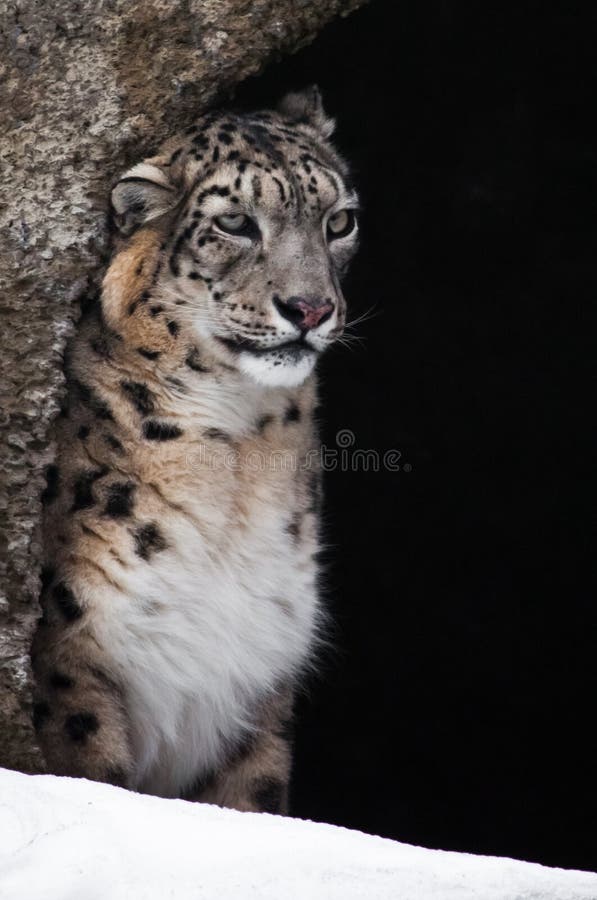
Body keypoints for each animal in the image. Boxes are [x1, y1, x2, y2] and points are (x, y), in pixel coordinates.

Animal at [31, 86, 359, 814]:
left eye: (340, 220)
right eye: (235, 222)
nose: (311, 308)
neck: (236, 463)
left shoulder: (261, 675)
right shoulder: (76, 662)